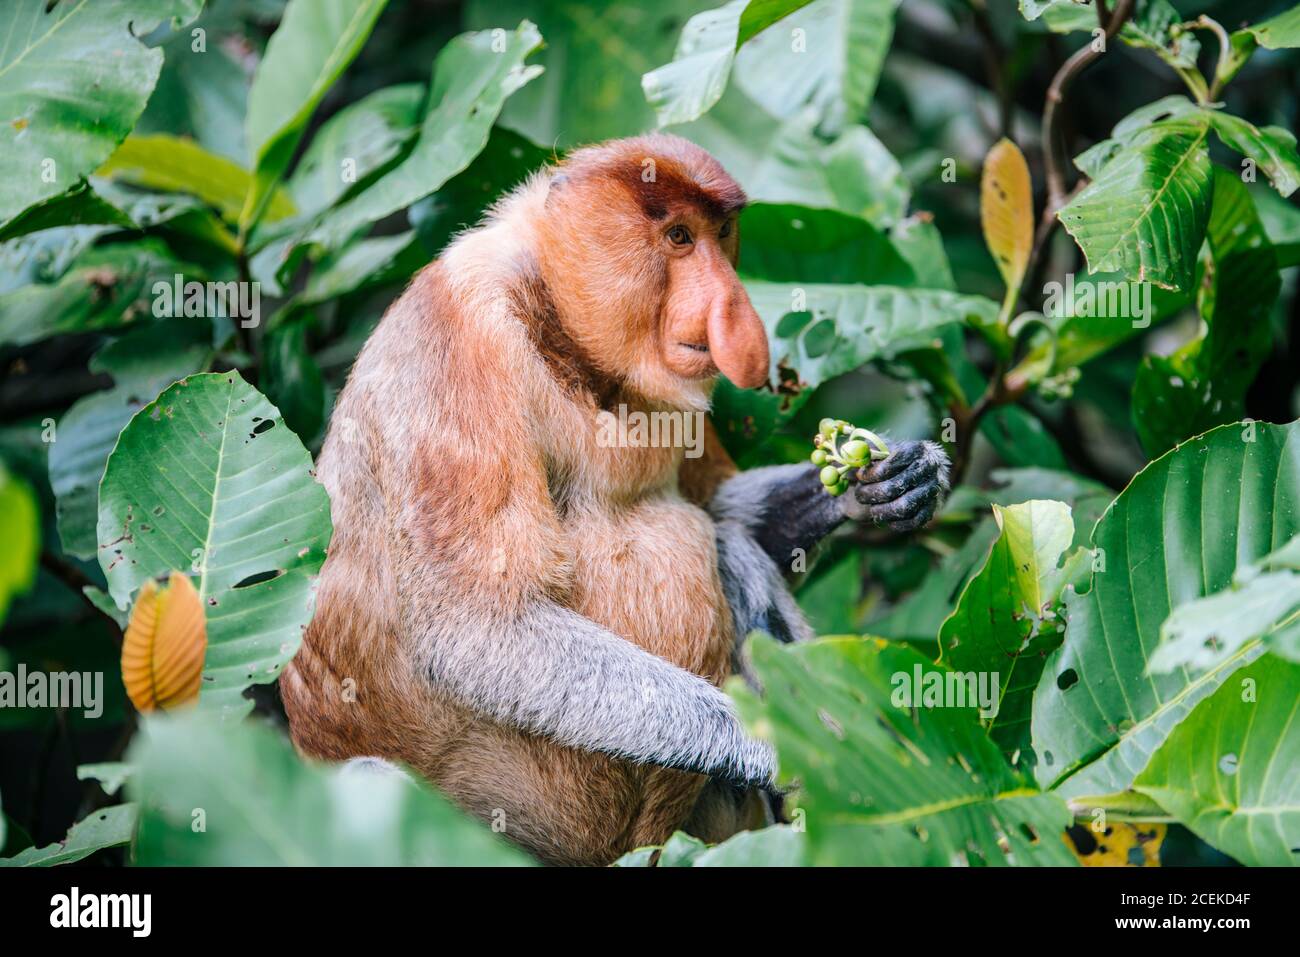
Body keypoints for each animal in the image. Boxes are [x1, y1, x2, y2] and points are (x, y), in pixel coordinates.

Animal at [279, 134, 949, 866]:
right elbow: (478, 625)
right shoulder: (455, 346)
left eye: (720, 234)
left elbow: (719, 508)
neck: (562, 332)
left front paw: (888, 482)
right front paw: (785, 742)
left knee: (725, 544)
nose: (733, 309)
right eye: (679, 237)